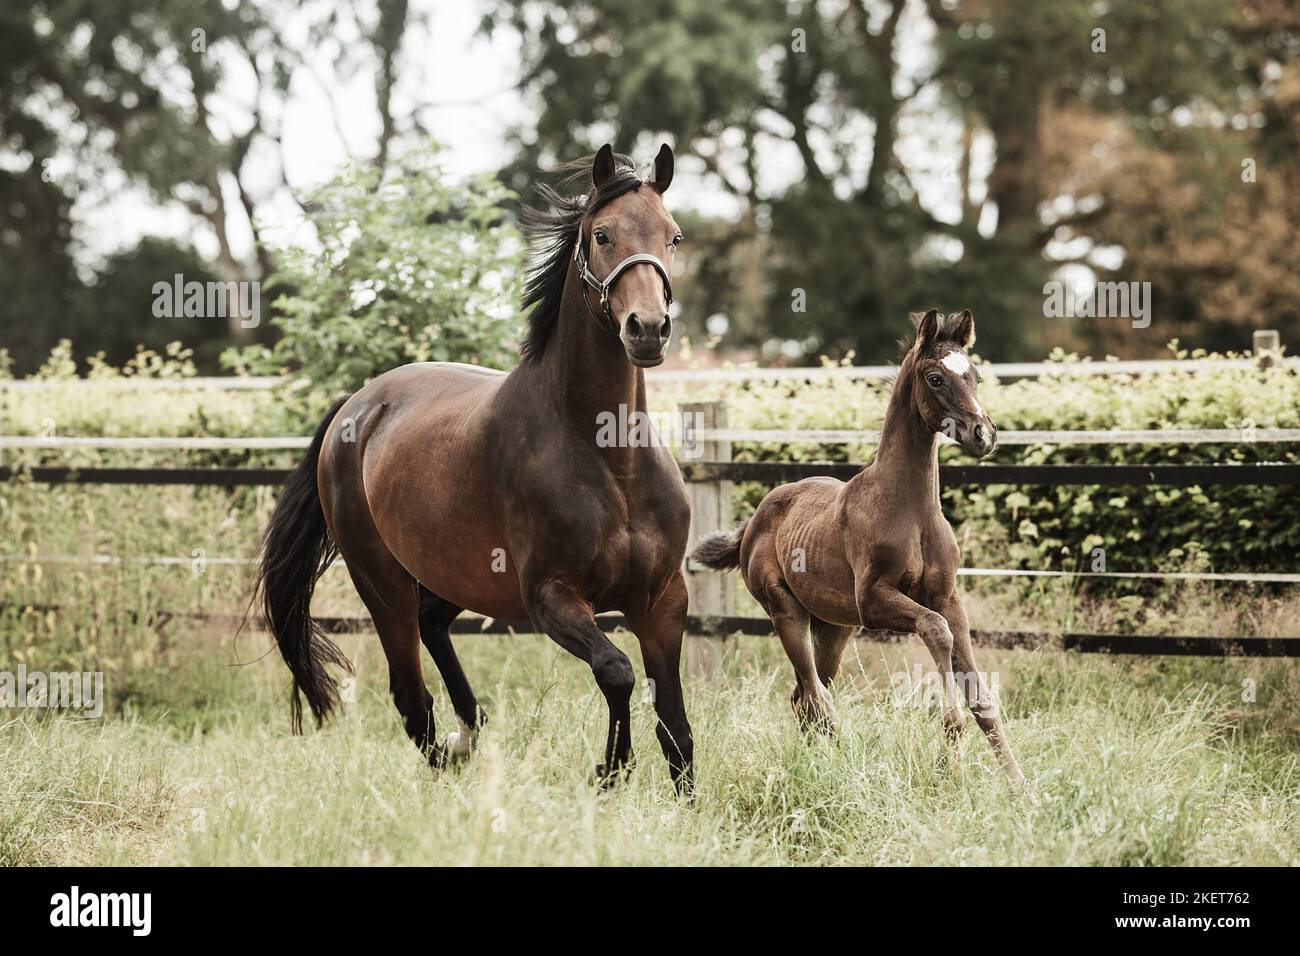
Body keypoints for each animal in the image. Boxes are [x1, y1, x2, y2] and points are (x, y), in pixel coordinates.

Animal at [252, 144, 695, 793]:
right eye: (602, 234)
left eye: (673, 236)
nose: (648, 329)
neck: (613, 460)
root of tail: (357, 406)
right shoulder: (551, 598)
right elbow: (616, 670)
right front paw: (610, 770)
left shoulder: (662, 600)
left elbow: (677, 728)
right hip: (382, 583)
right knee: (411, 699)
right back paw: (449, 758)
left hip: (458, 574)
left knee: (434, 627)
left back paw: (470, 731)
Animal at [691, 309, 1024, 786]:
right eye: (935, 378)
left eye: (975, 376)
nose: (983, 434)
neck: (911, 509)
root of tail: (752, 523)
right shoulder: (873, 600)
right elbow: (936, 630)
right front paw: (948, 748)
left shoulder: (948, 598)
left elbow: (982, 699)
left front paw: (1020, 787)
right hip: (786, 611)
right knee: (815, 699)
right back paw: (836, 770)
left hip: (834, 628)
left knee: (803, 698)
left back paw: (817, 770)